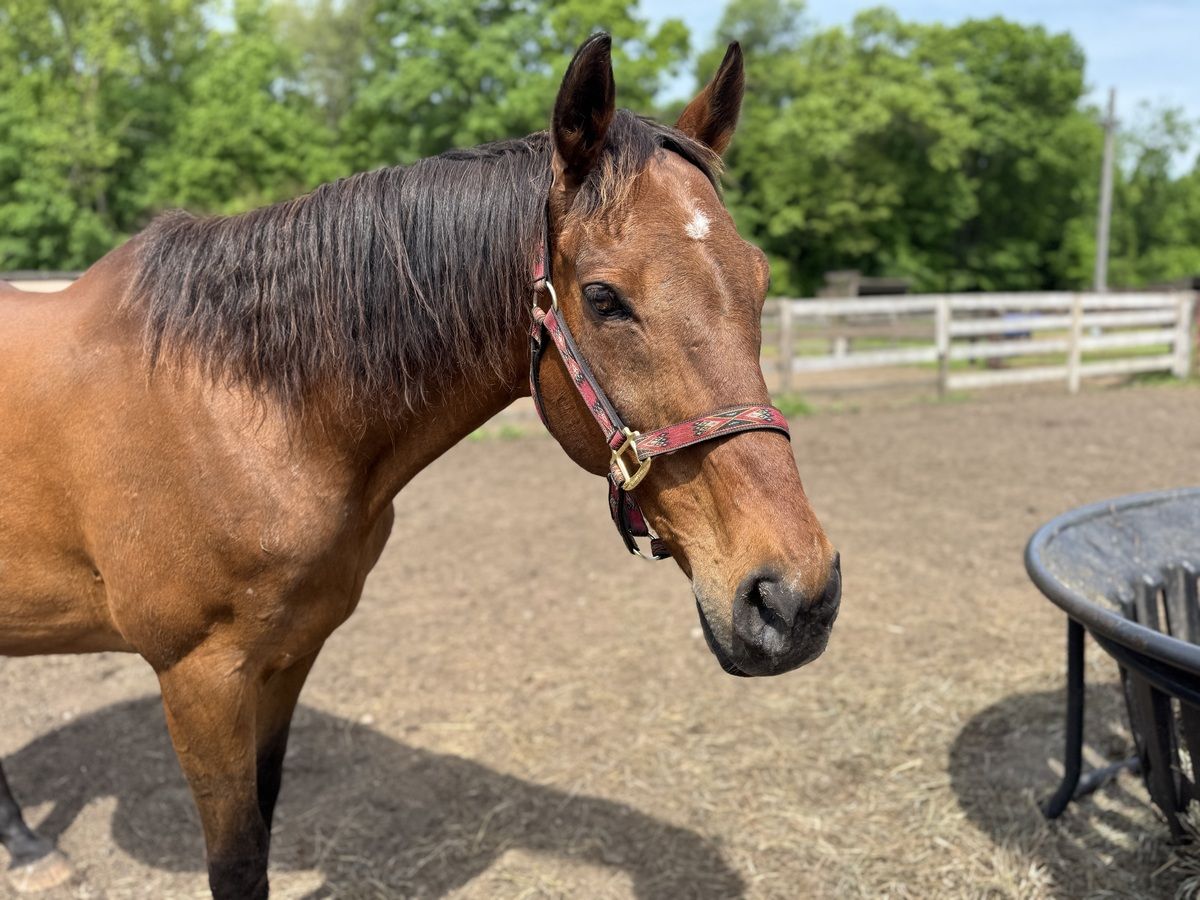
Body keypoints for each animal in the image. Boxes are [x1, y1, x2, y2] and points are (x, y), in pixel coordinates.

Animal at [0, 33, 840, 898]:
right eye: (604, 297)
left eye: (759, 281)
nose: (795, 599)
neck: (244, 410)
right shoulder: (201, 677)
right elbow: (237, 861)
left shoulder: (287, 656)